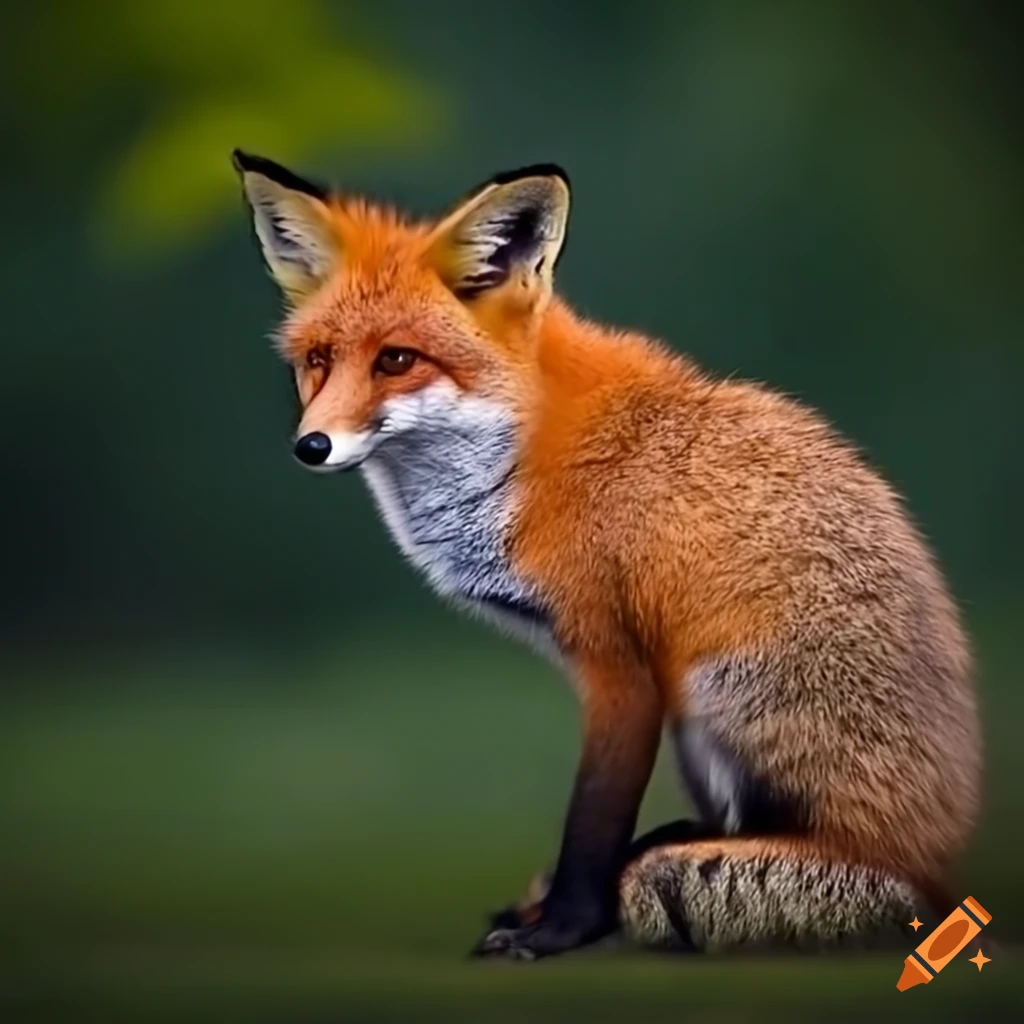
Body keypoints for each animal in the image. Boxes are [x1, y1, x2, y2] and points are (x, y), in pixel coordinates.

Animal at [233, 150, 981, 960]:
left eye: (397, 360)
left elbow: (591, 826)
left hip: (717, 690)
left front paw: (561, 931)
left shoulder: (618, 666)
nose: (310, 446)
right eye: (317, 360)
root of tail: (939, 865)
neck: (519, 457)